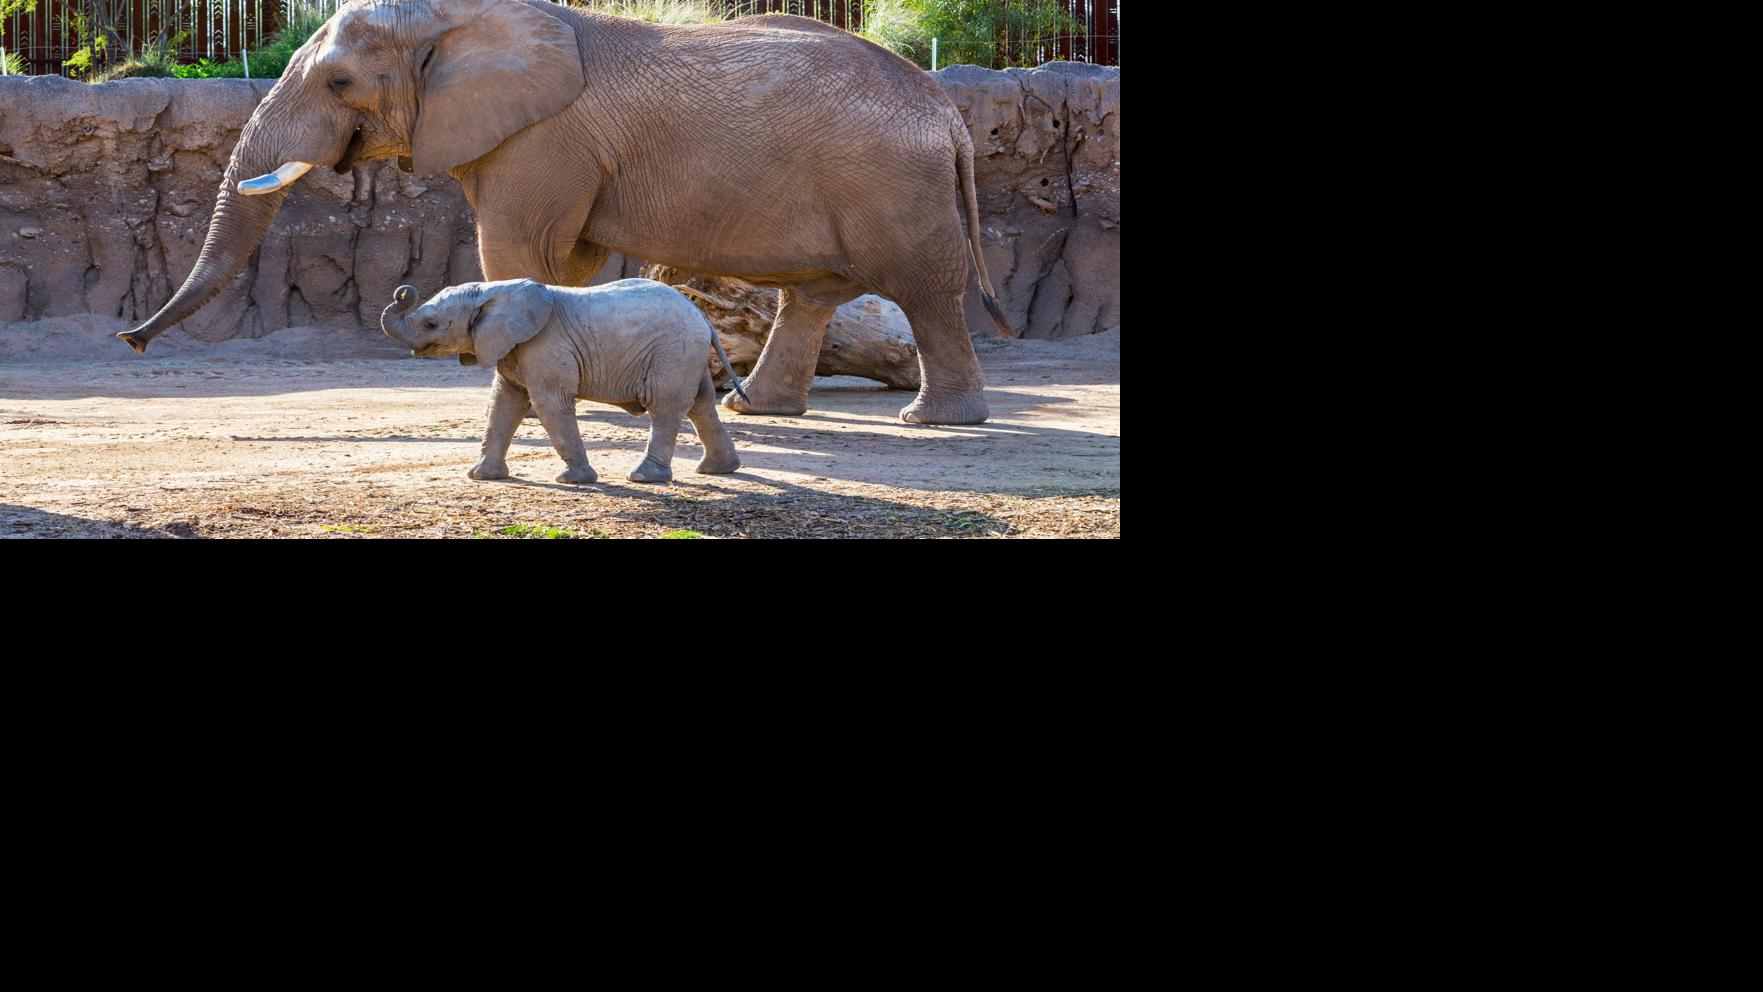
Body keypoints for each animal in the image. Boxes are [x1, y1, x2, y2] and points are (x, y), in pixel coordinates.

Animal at [116, 0, 1015, 426]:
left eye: (339, 84)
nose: (130, 339)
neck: (464, 20)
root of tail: (946, 109)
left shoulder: (541, 139)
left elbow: (516, 247)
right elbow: (571, 261)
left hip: (893, 185)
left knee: (924, 292)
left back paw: (931, 418)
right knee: (812, 295)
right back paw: (755, 411)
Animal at [381, 277, 744, 484]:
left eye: (430, 324)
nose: (402, 292)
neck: (493, 290)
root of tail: (702, 315)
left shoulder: (545, 345)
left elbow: (549, 403)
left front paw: (574, 480)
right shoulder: (512, 346)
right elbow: (504, 403)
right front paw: (481, 477)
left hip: (673, 351)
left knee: (666, 407)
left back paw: (643, 477)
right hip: (687, 354)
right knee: (701, 405)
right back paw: (718, 470)